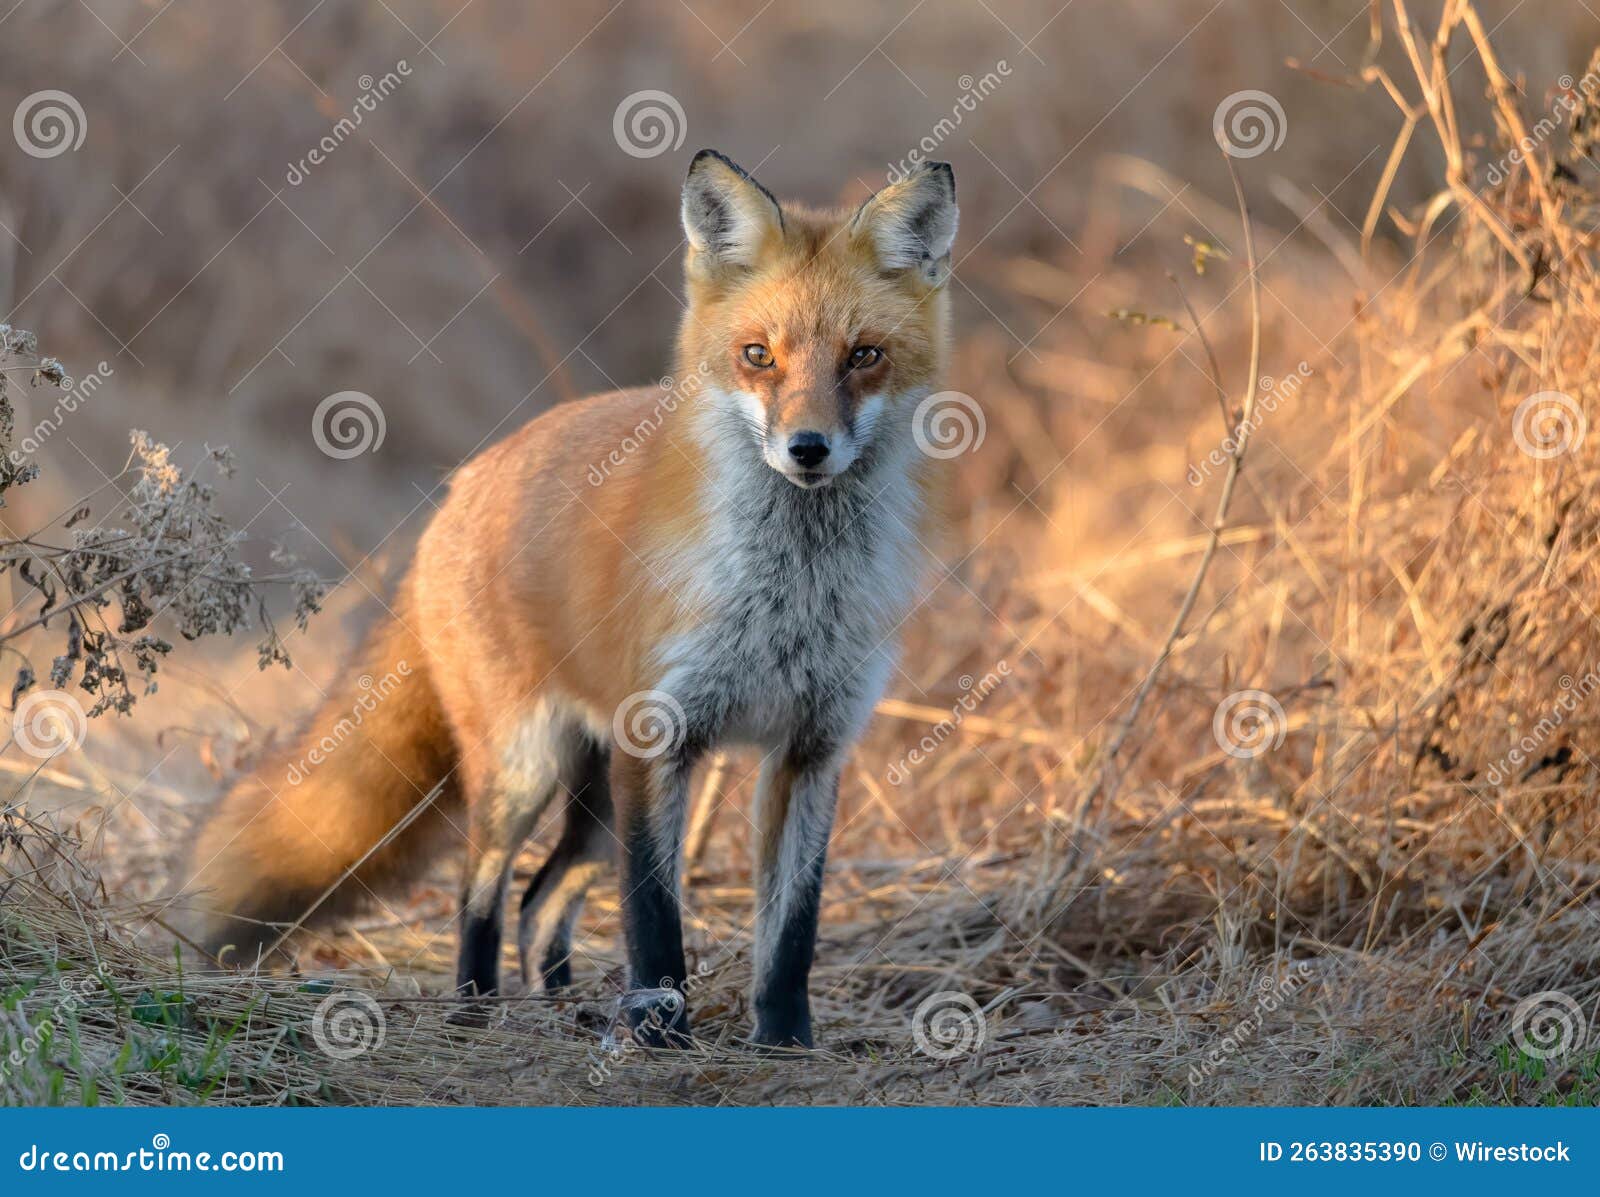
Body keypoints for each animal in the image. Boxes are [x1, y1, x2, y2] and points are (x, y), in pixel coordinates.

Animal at [187, 149, 959, 1048]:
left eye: (864, 355)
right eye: (758, 355)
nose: (807, 448)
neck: (789, 595)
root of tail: (461, 487)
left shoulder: (811, 748)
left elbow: (792, 928)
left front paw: (786, 1043)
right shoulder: (659, 742)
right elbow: (653, 918)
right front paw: (663, 1037)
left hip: (596, 798)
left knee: (541, 896)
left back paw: (558, 1001)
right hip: (528, 770)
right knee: (483, 889)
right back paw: (475, 1008)